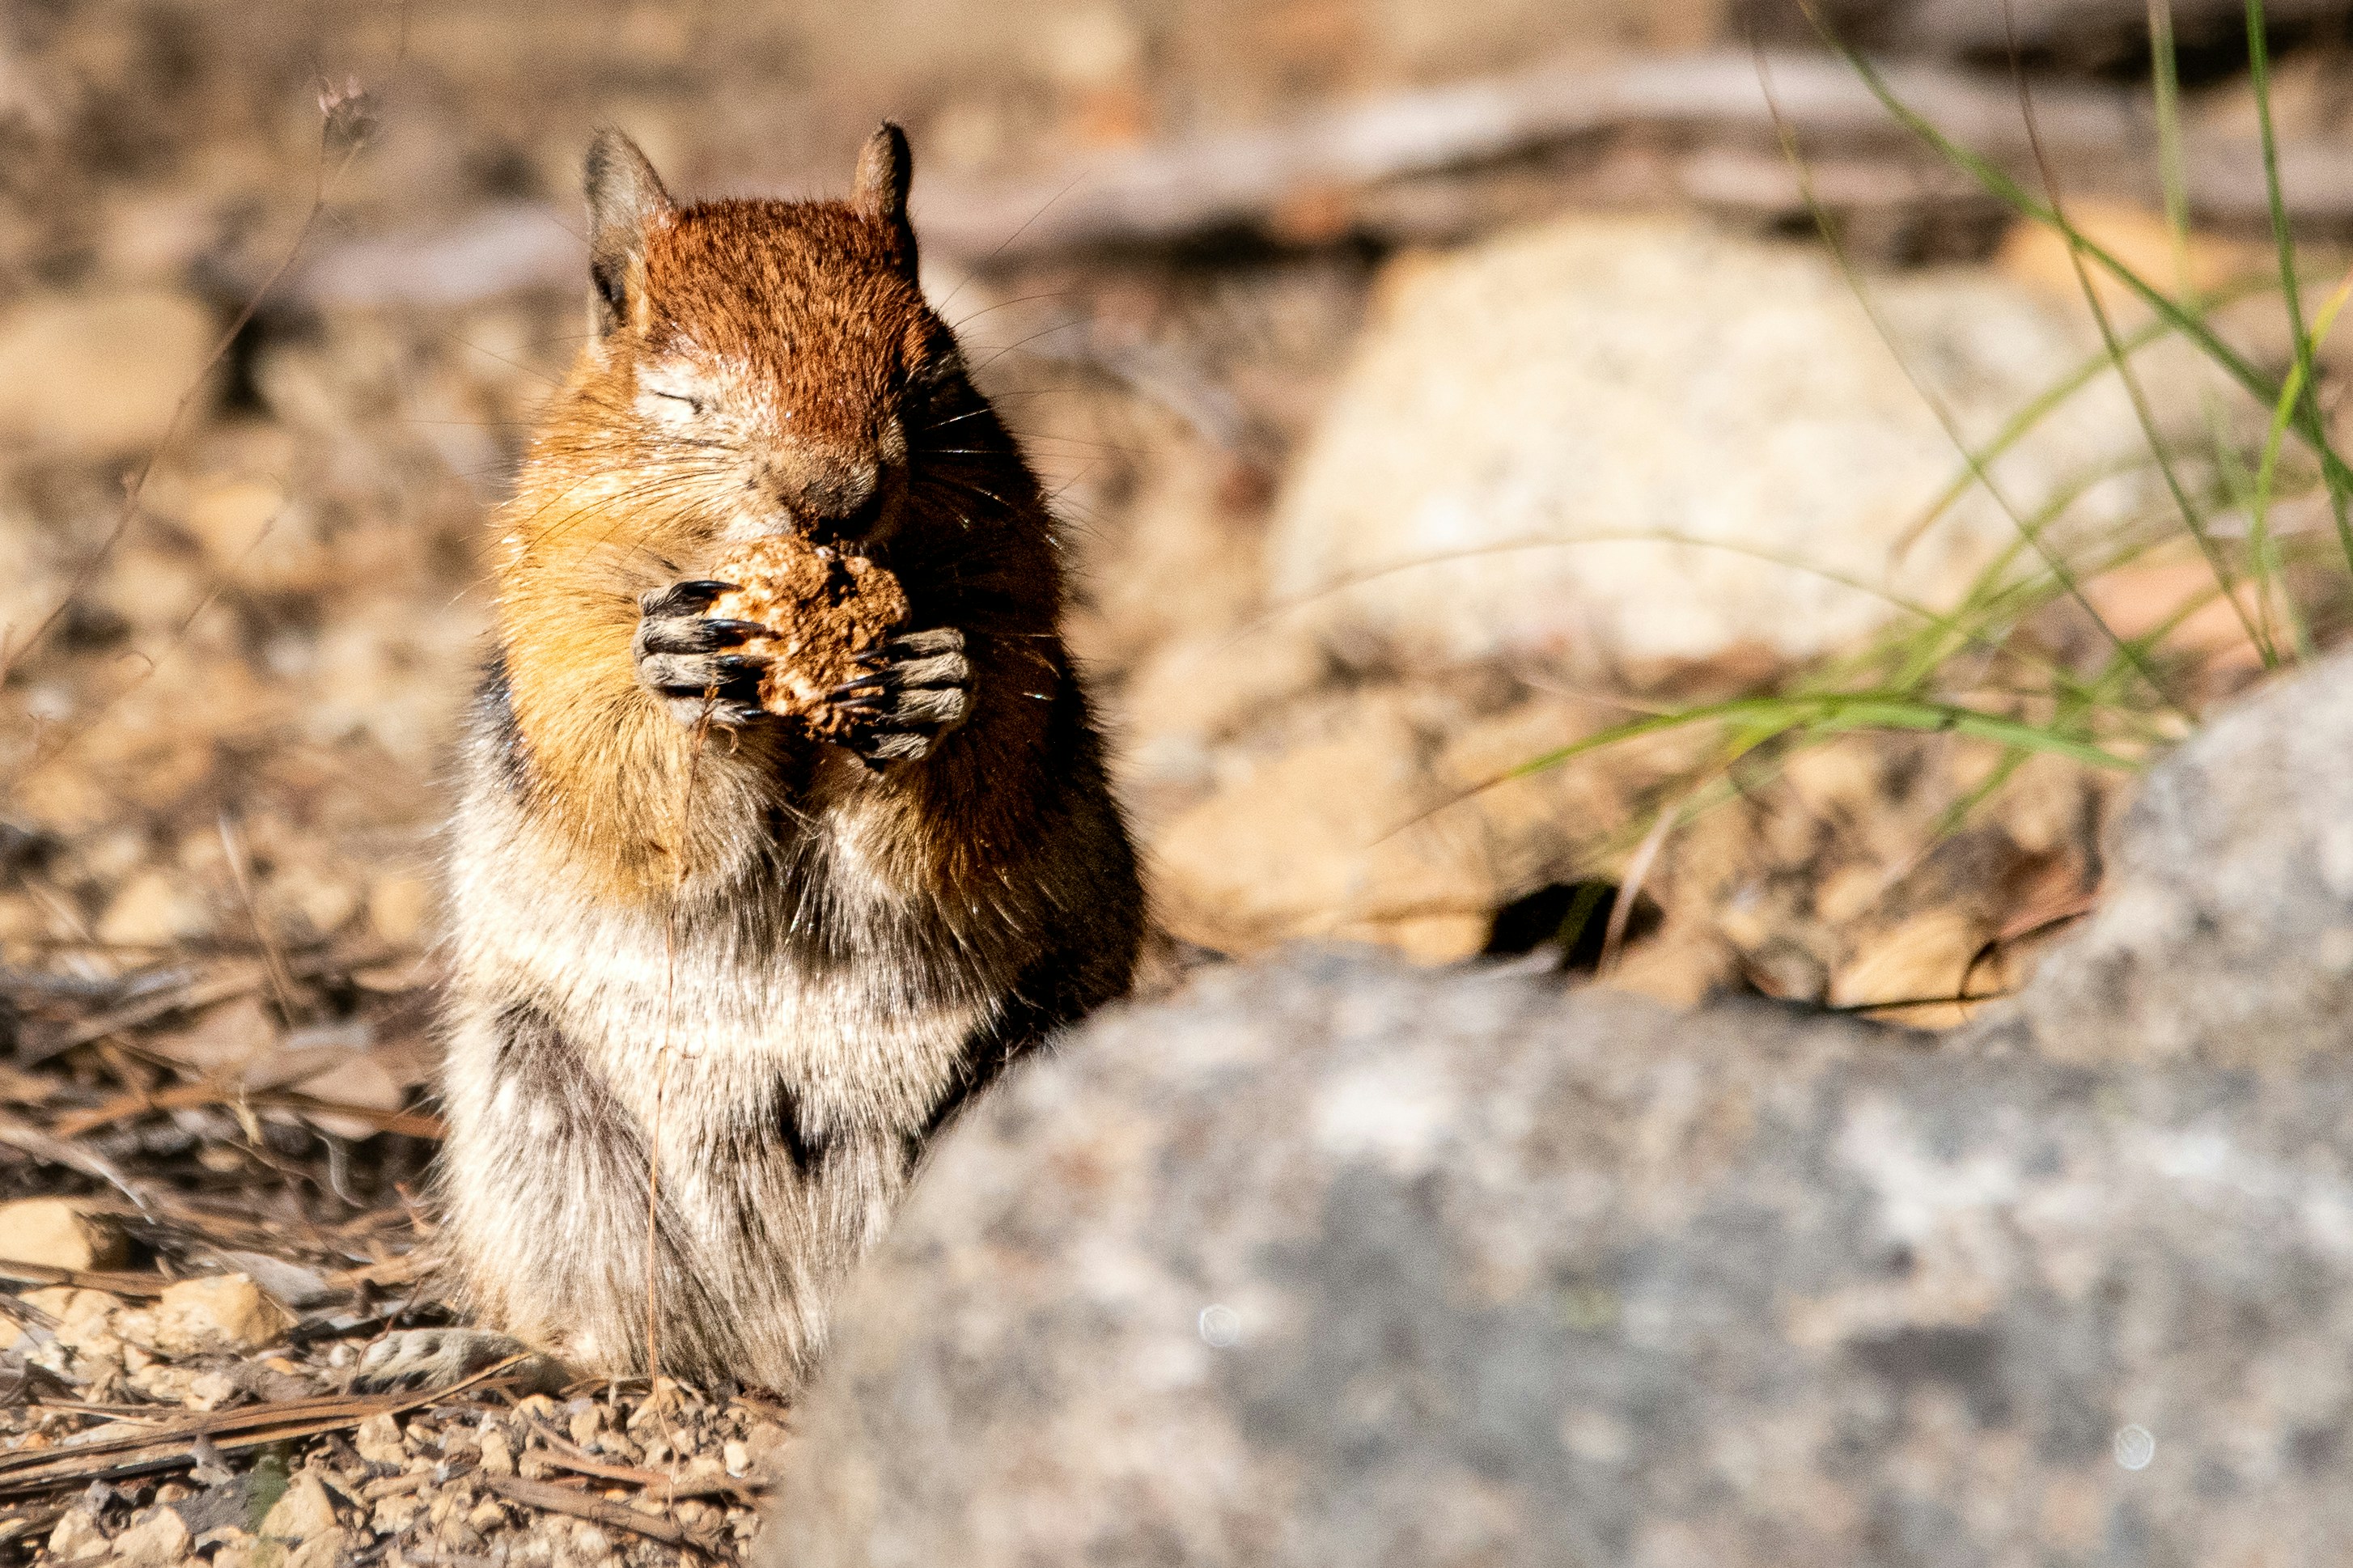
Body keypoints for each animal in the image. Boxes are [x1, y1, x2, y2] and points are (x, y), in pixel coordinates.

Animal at [355, 125, 1144, 1393]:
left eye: (933, 371)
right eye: (678, 394)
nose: (834, 497)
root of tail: (795, 1339)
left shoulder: (1021, 606)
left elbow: (985, 764)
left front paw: (936, 686)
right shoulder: (554, 617)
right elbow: (624, 770)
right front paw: (673, 665)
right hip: (538, 1124)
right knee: (626, 1338)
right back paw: (486, 1349)